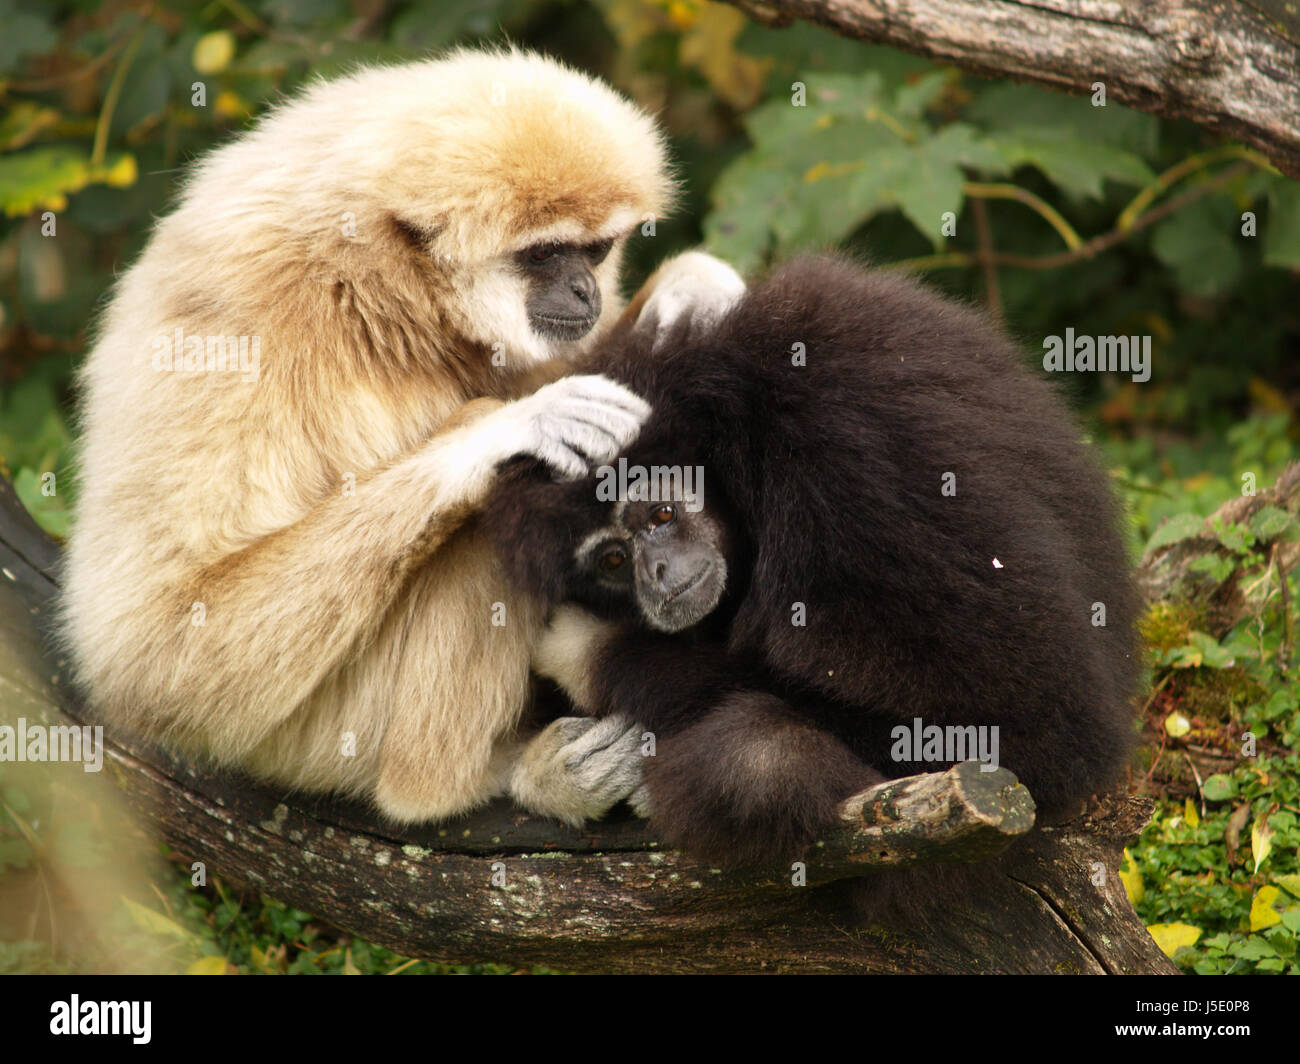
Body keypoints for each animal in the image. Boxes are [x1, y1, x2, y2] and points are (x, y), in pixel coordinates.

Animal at [57, 47, 742, 828]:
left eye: (596, 251)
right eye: (544, 255)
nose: (583, 291)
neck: (374, 277)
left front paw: (692, 288)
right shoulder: (236, 321)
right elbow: (156, 646)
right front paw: (503, 427)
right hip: (317, 735)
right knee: (485, 525)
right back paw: (467, 780)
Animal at [485, 253, 1141, 868]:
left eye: (661, 515)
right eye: (615, 561)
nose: (659, 573)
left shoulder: (854, 461)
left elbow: (1032, 727)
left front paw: (586, 649)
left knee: (755, 757)